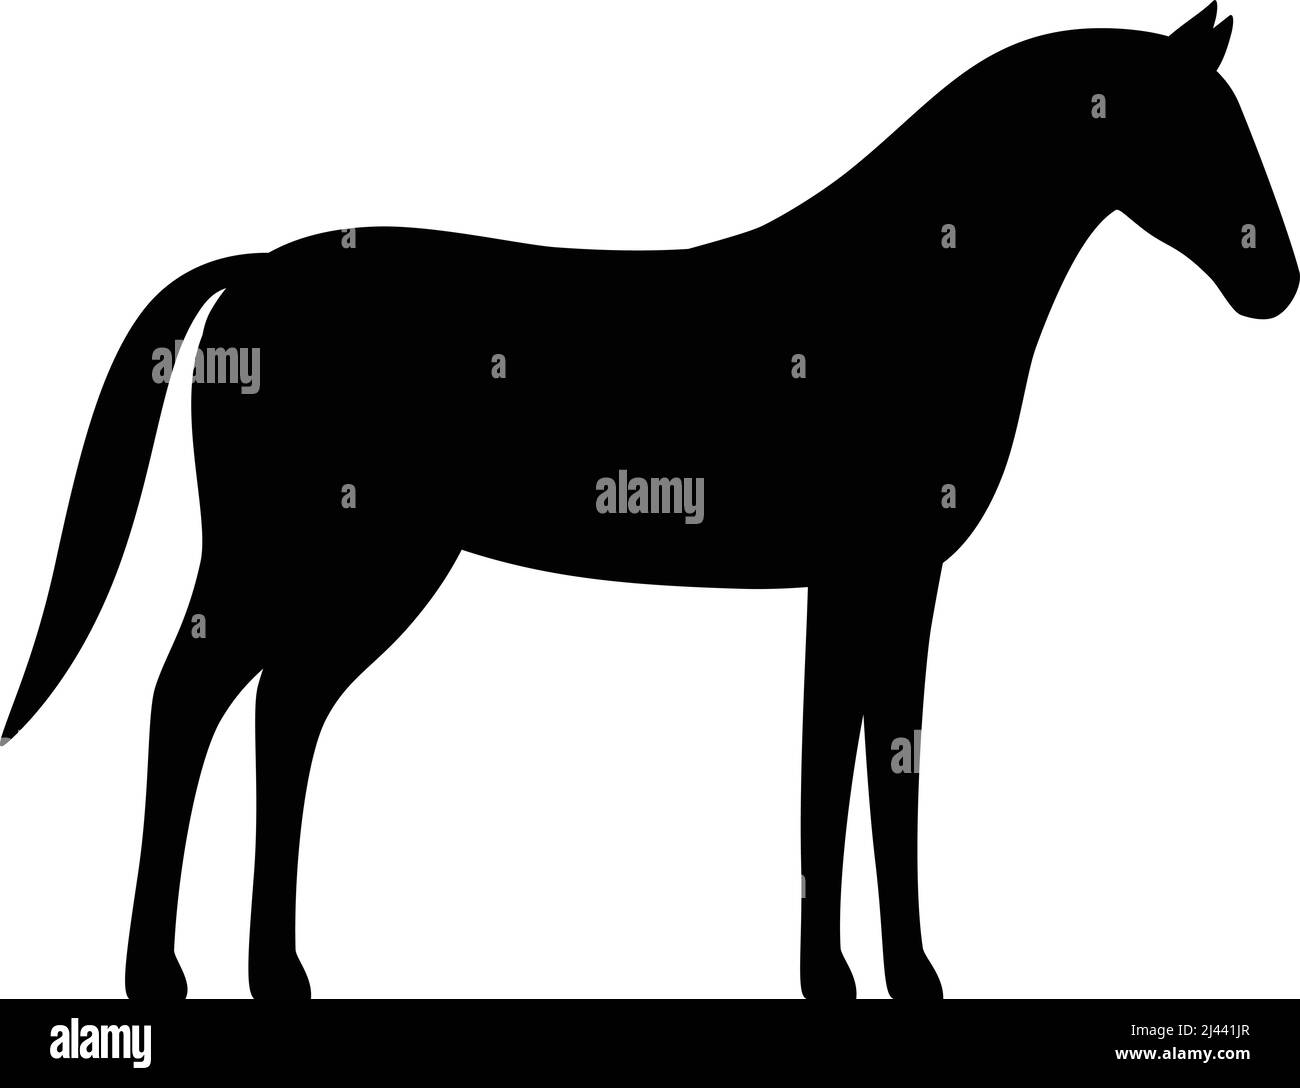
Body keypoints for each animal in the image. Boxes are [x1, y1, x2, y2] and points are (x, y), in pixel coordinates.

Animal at [4, 3, 1295, 999]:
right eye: (1200, 129)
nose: (1274, 282)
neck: (911, 287)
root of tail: (254, 274)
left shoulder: (863, 578)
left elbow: (853, 756)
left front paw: (868, 976)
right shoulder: (875, 568)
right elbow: (860, 759)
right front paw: (875, 977)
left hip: (369, 563)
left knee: (284, 711)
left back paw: (278, 971)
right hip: (291, 551)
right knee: (190, 702)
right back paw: (156, 974)